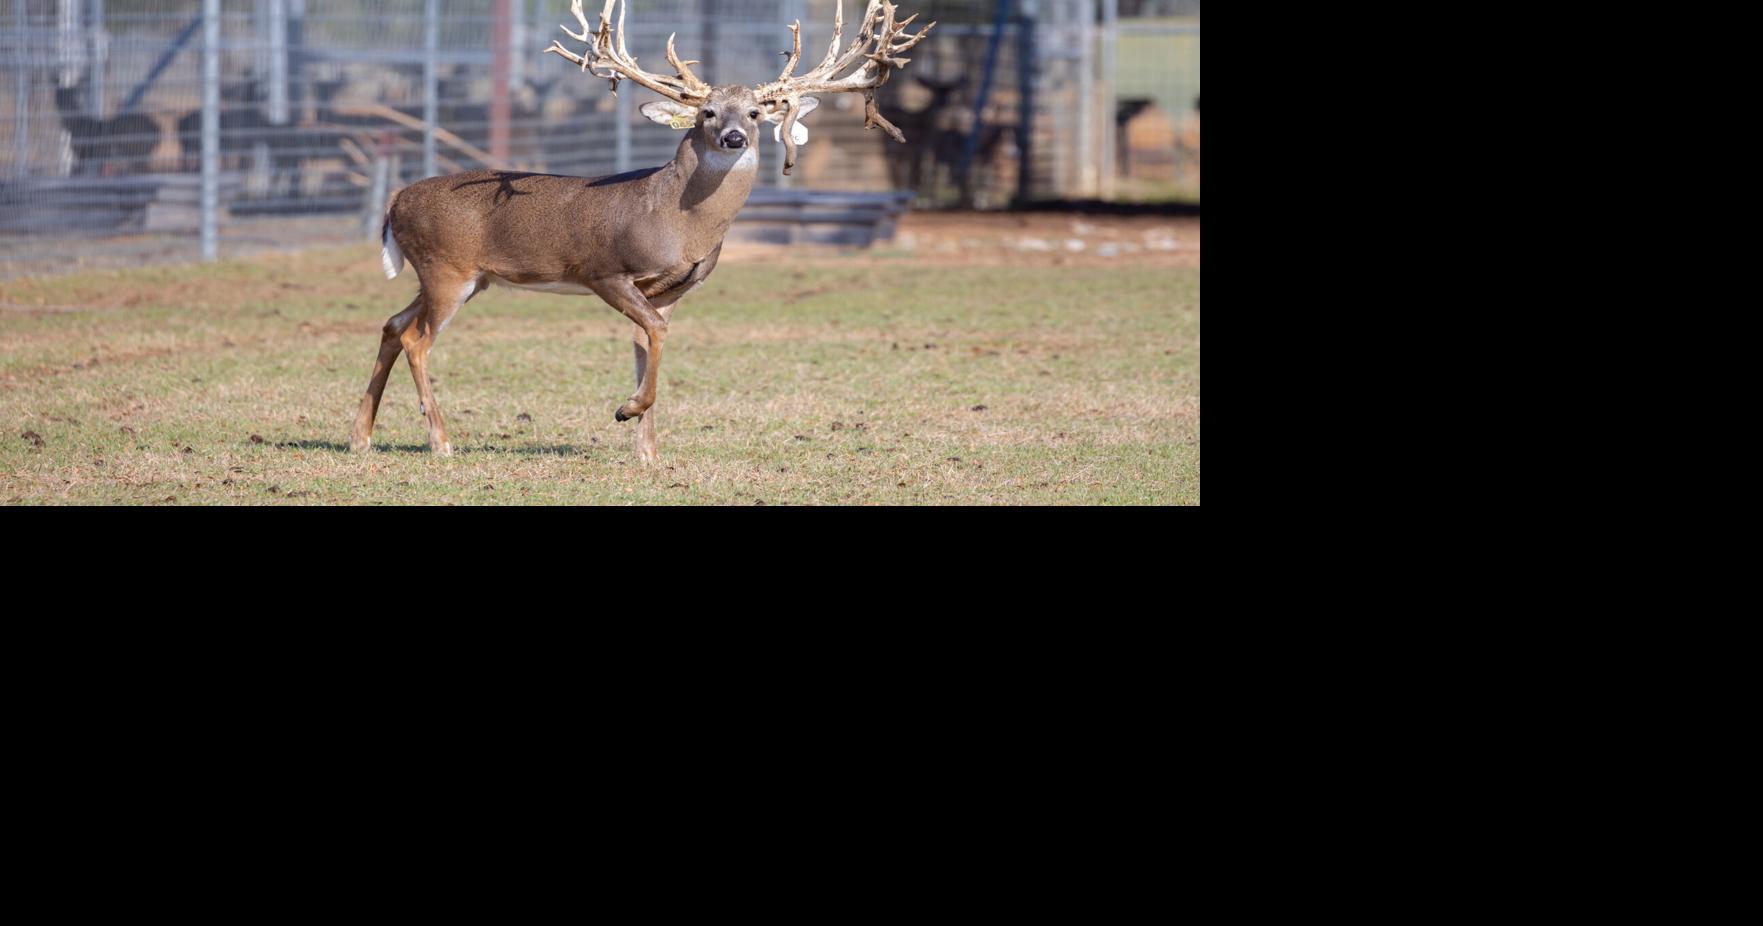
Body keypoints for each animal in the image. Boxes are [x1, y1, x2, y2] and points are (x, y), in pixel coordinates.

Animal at [348, 0, 934, 463]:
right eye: (707, 113)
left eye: (754, 112)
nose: (735, 137)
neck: (678, 221)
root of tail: (395, 200)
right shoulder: (606, 271)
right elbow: (652, 335)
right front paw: (627, 411)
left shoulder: (670, 290)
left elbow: (647, 342)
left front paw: (648, 451)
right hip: (447, 268)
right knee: (416, 338)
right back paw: (441, 441)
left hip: (456, 277)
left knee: (392, 324)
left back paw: (361, 437)